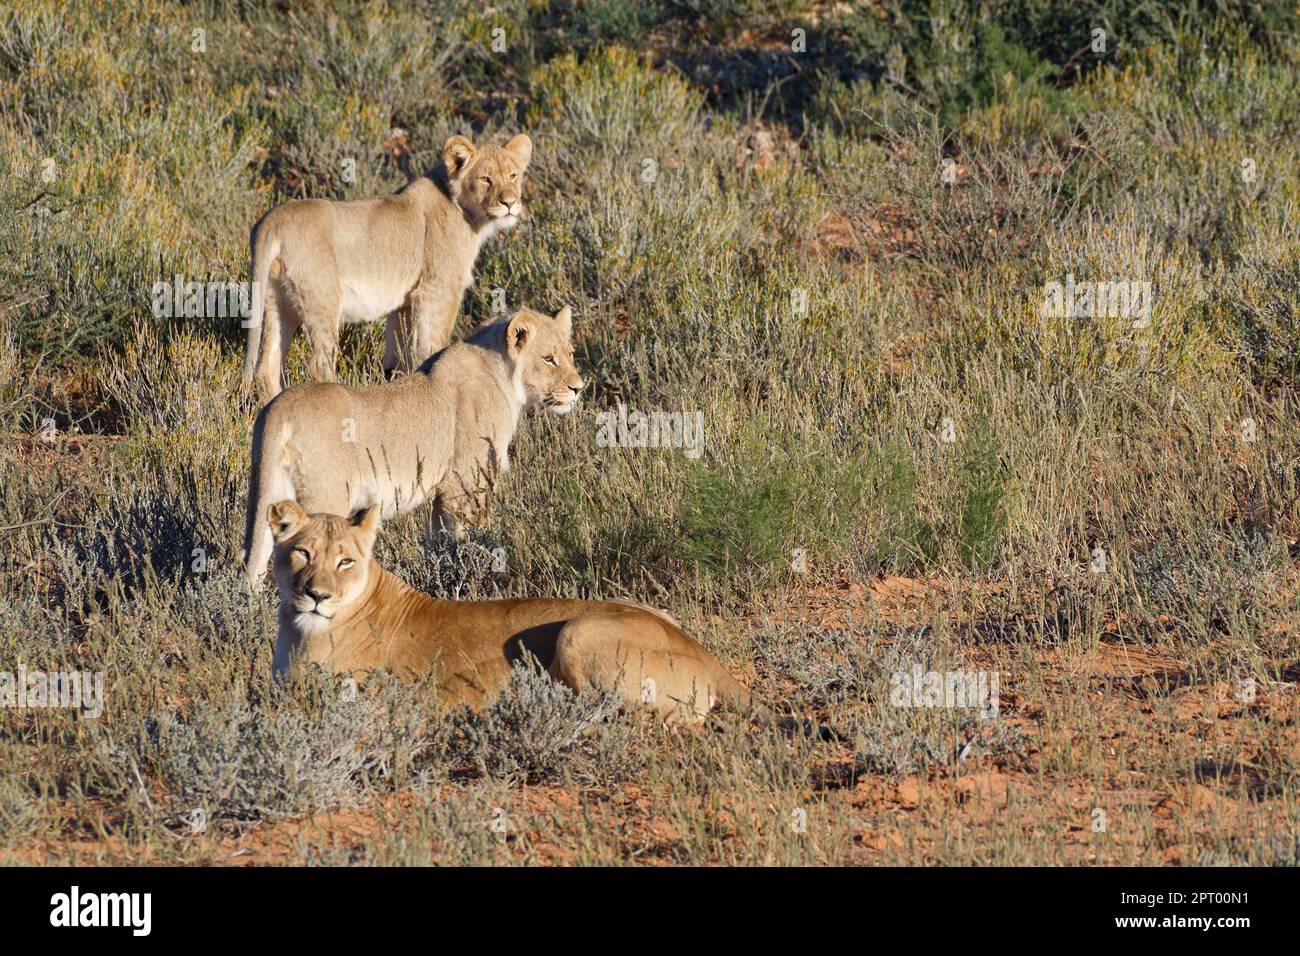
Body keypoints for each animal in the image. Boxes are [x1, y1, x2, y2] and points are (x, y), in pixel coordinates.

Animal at [241, 306, 582, 582]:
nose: (578, 388)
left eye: (570, 354)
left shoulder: (442, 493)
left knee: (254, 565)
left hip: (267, 493)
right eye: (548, 359)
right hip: (327, 497)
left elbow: (440, 541)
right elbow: (473, 537)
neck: (505, 379)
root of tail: (279, 409)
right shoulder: (465, 485)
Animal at [242, 132, 533, 400]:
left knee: (266, 367)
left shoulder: (405, 301)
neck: (470, 216)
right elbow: (432, 345)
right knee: (319, 365)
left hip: (278, 302)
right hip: (323, 300)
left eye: (513, 176)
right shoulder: (437, 291)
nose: (509, 203)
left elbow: (398, 355)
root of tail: (271, 221)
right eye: (485, 179)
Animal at [266, 500, 754, 720]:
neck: (299, 629)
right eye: (303, 553)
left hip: (578, 632)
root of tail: (707, 656)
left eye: (345, 561)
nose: (317, 595)